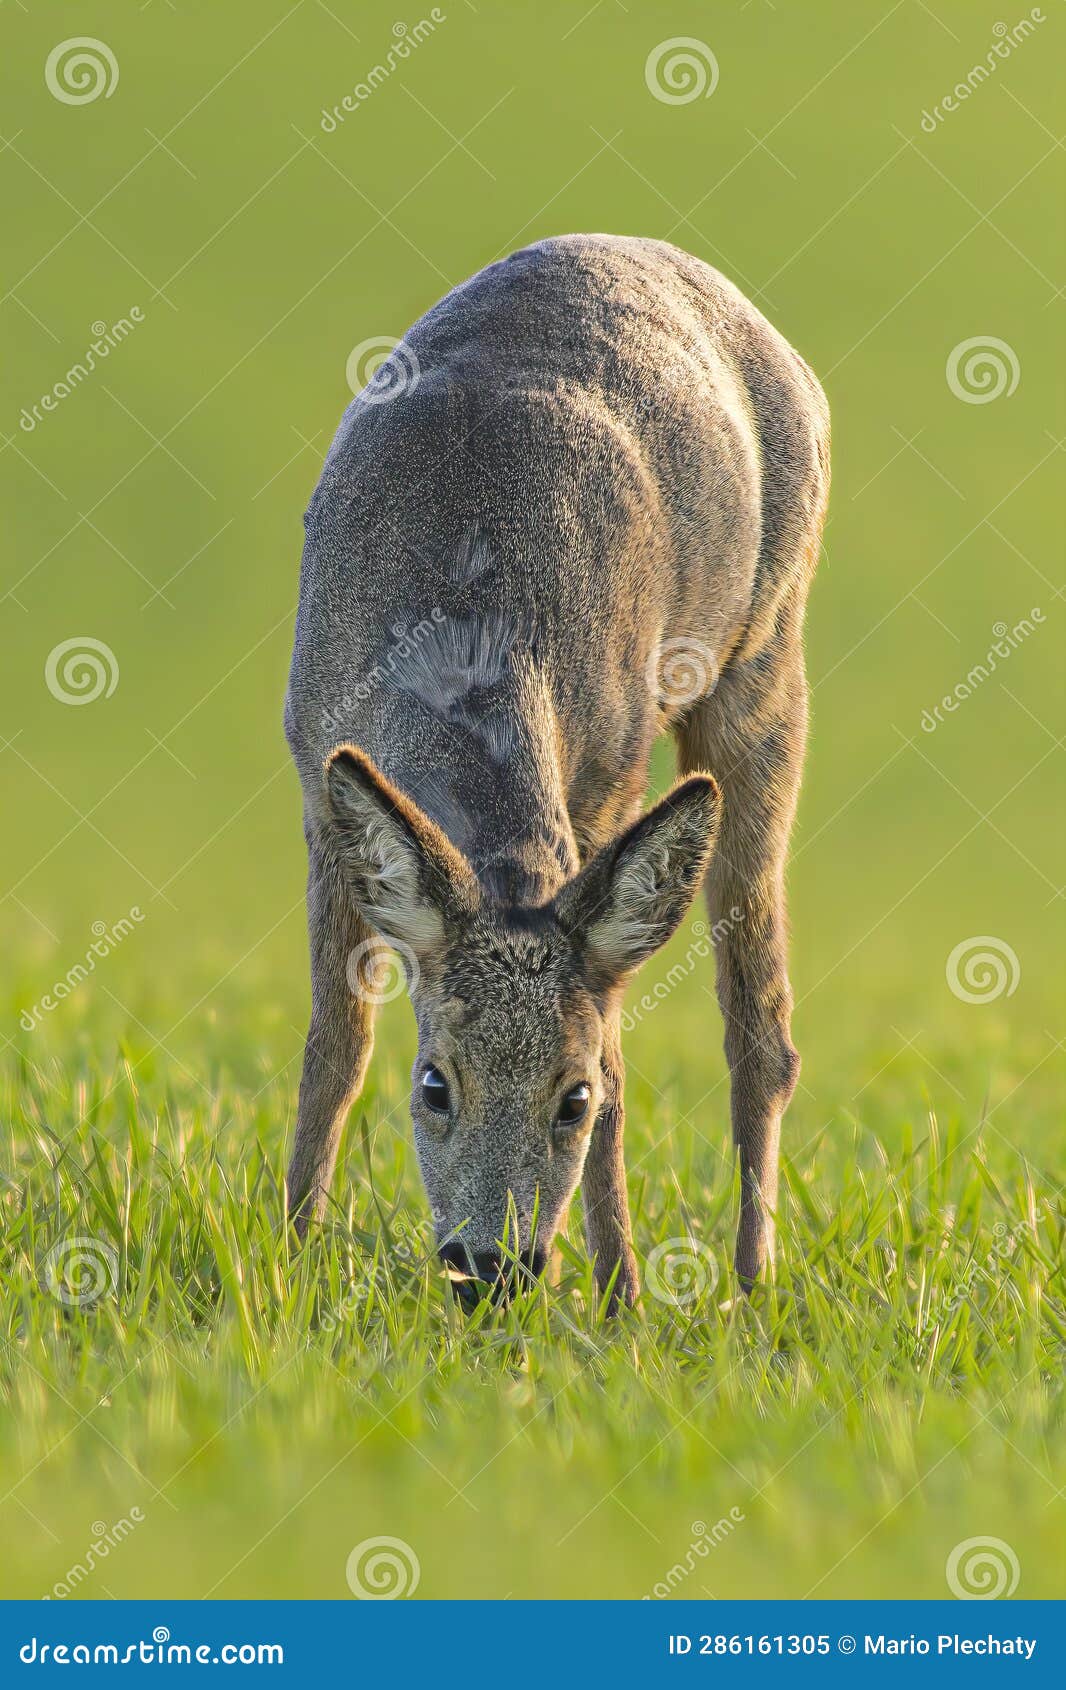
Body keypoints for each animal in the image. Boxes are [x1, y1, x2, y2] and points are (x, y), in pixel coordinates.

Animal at [284, 234, 830, 1309]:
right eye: (435, 1085)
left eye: (569, 1098)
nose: (491, 1266)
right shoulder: (318, 783)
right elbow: (334, 1046)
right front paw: (288, 1260)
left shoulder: (610, 775)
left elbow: (622, 1063)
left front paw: (622, 1304)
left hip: (764, 657)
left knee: (762, 1024)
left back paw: (752, 1282)